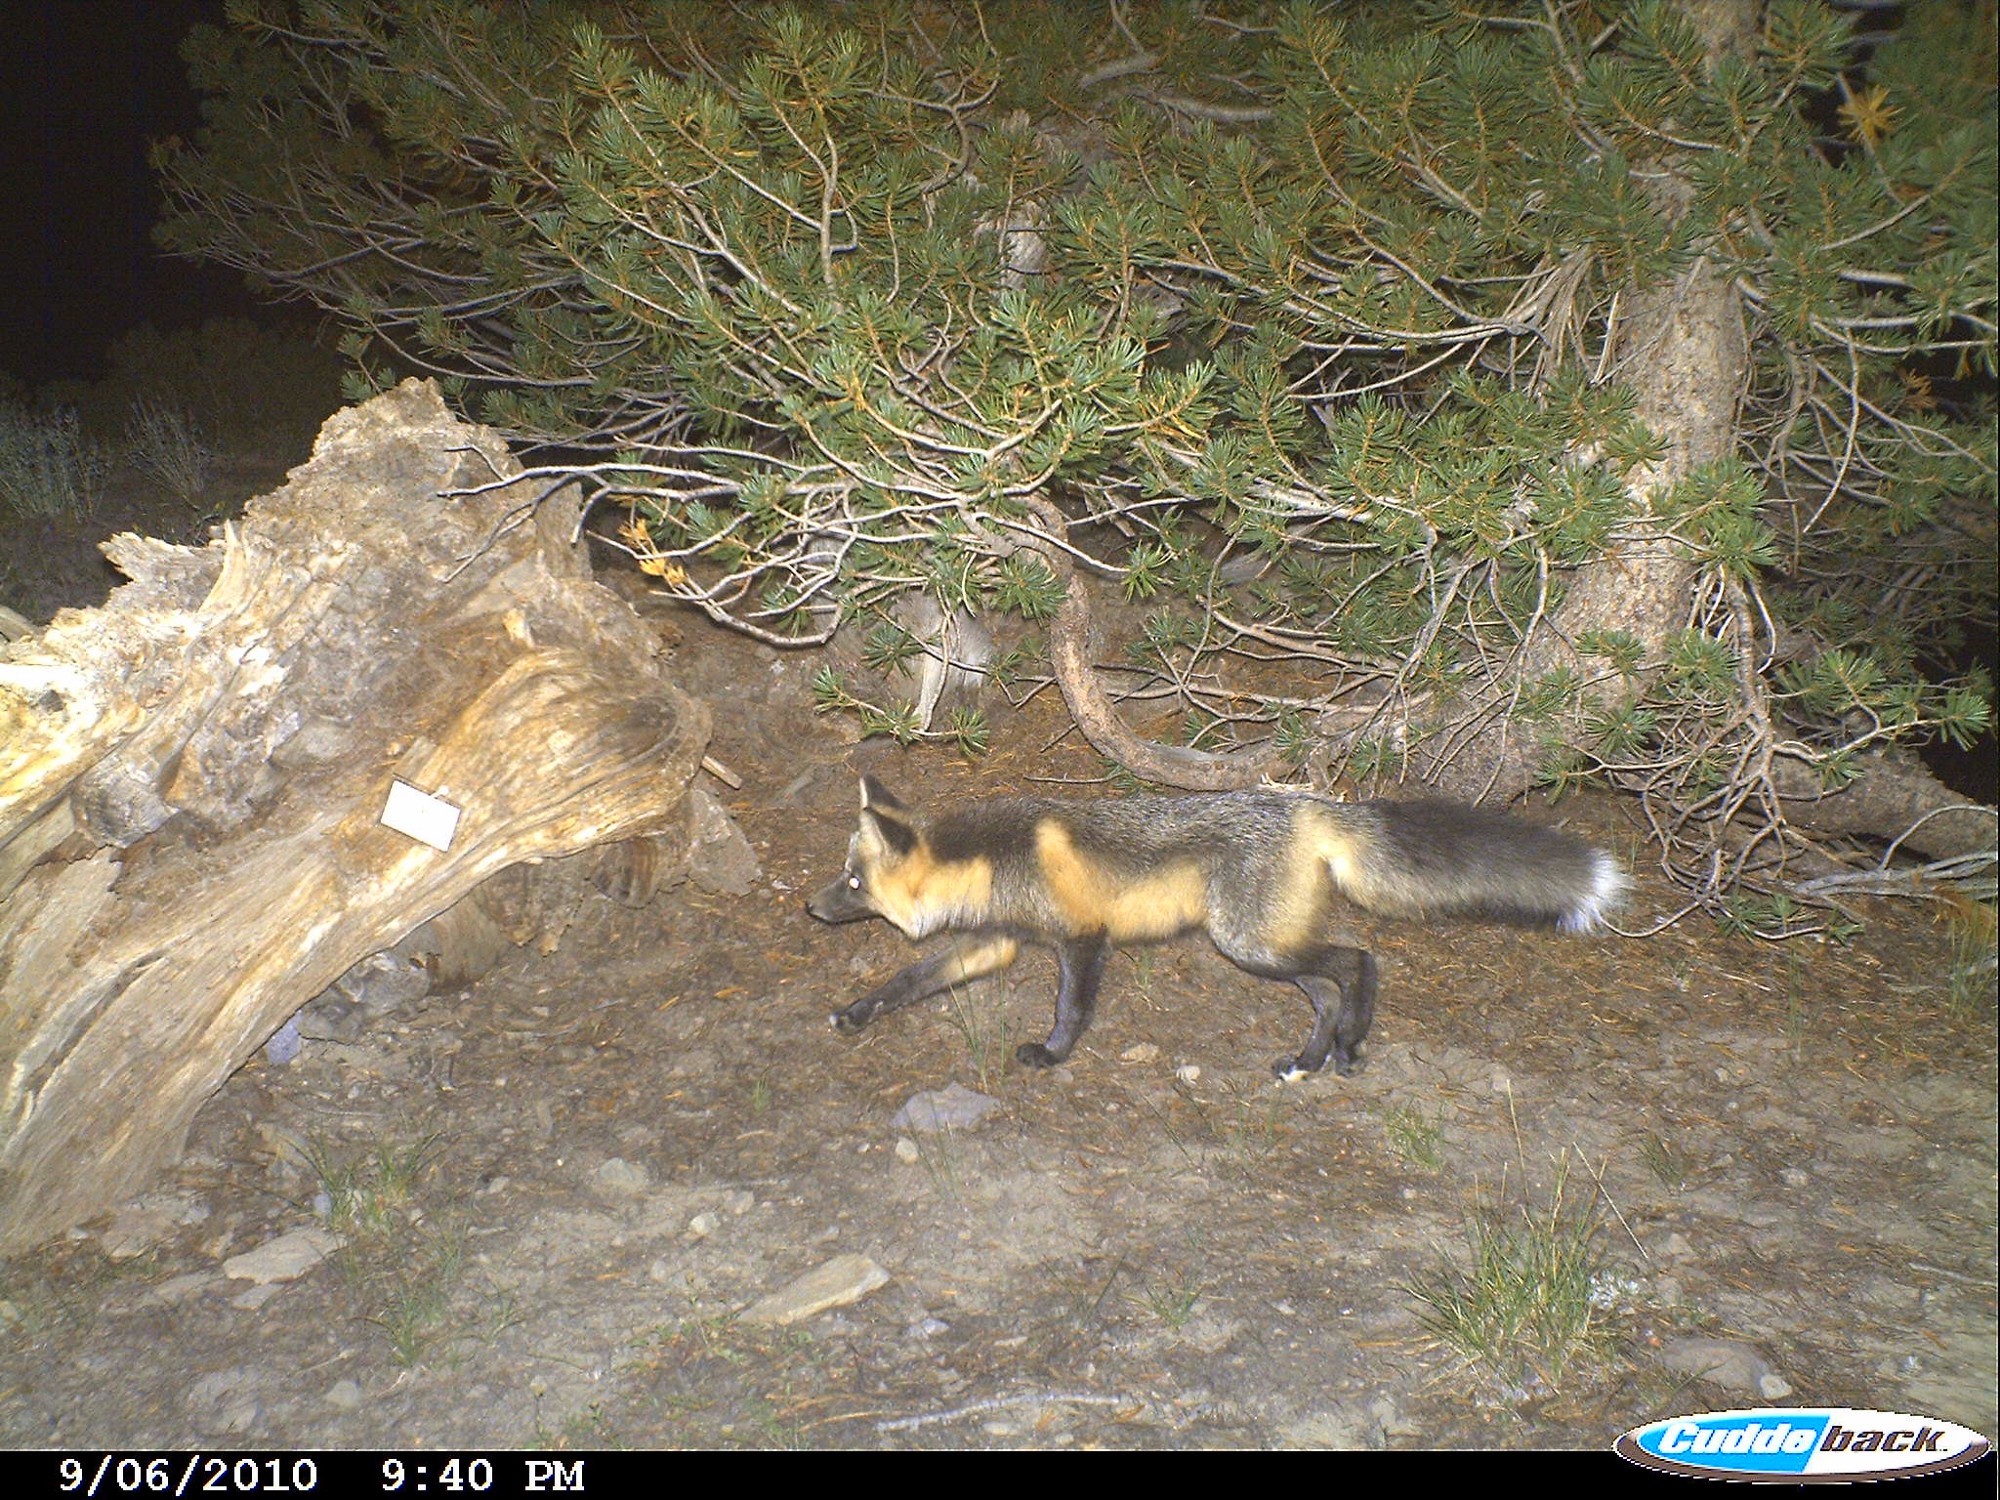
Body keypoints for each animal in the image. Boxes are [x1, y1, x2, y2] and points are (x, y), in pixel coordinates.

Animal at [808, 776, 1624, 1081]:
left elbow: (1072, 1009)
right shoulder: (994, 941)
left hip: (1248, 944)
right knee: (1326, 987)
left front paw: (1052, 1054)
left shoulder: (1083, 939)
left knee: (1359, 961)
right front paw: (855, 1012)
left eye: (851, 883)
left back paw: (1351, 1047)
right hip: (1262, 948)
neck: (992, 859)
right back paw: (1309, 1058)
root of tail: (1308, 803)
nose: (812, 910)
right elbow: (908, 981)